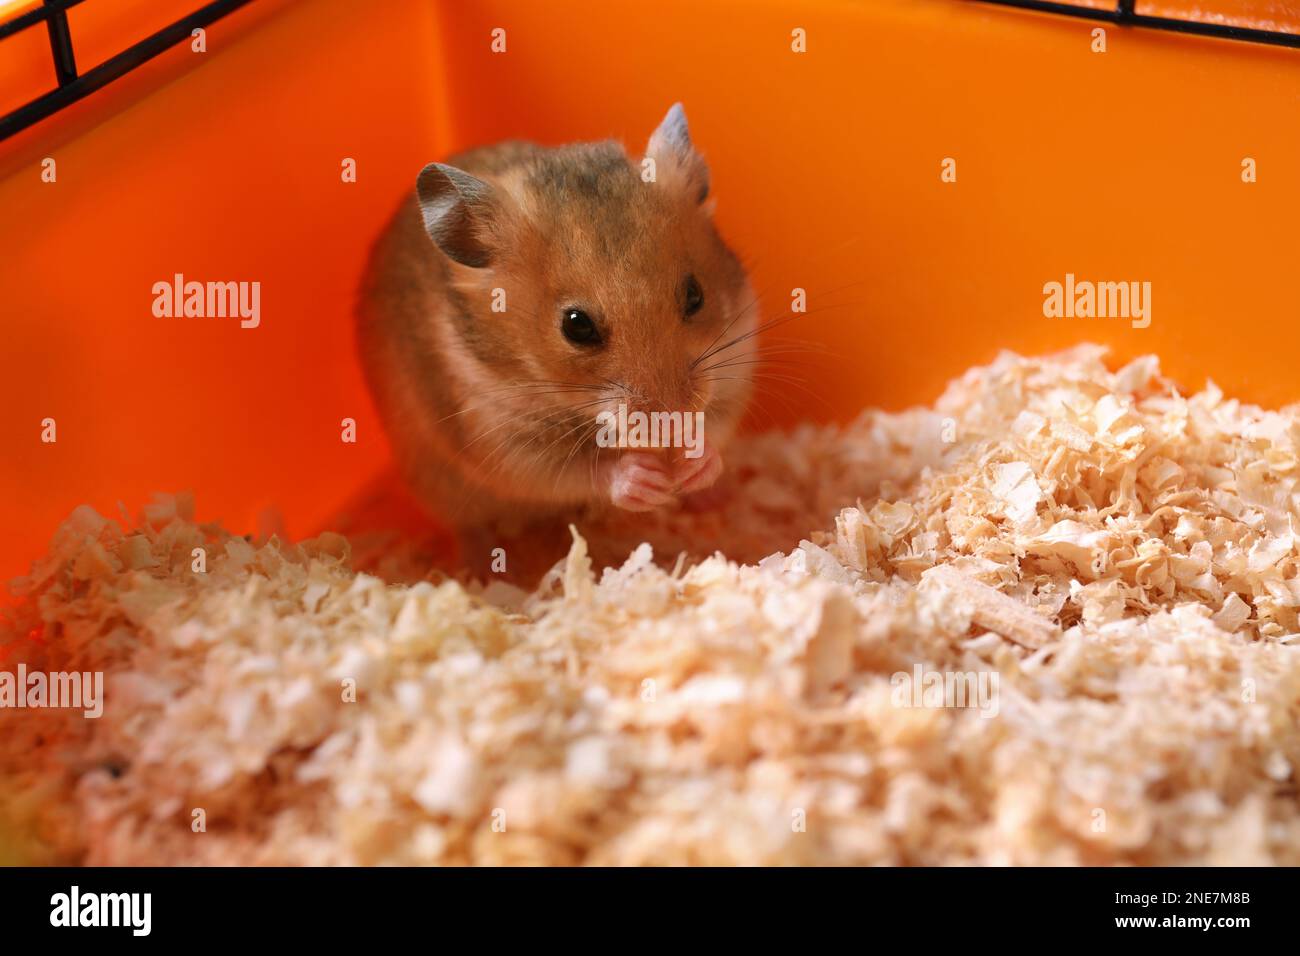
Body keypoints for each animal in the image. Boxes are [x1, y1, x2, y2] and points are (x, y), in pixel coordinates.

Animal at [356, 104, 757, 529]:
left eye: (695, 295)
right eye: (576, 325)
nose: (671, 418)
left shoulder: (735, 367)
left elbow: (714, 427)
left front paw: (695, 461)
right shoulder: (504, 437)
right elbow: (580, 469)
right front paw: (645, 480)